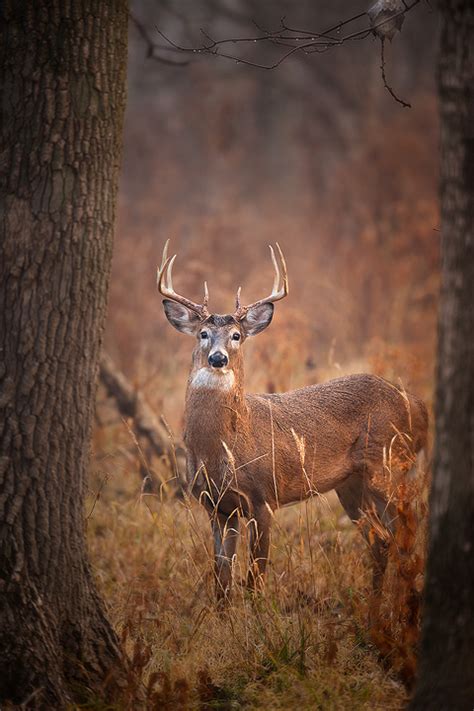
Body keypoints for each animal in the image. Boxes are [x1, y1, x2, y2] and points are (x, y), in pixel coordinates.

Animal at [157, 241, 428, 610]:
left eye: (237, 335)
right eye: (203, 333)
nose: (218, 358)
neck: (225, 448)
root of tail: (417, 406)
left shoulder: (264, 497)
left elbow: (254, 576)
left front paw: (255, 616)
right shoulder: (216, 506)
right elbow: (221, 577)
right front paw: (222, 616)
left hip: (390, 467)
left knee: (408, 534)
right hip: (352, 485)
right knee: (382, 539)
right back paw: (375, 606)